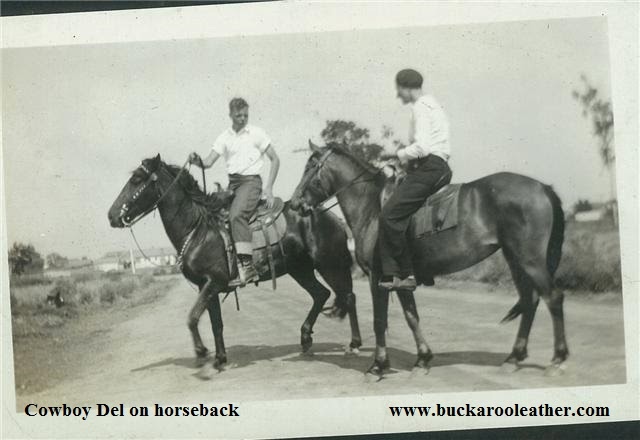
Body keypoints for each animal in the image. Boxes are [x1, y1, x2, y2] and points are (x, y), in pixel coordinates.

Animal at [107, 154, 362, 371]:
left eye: (136, 179)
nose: (111, 216)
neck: (199, 229)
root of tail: (332, 217)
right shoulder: (206, 287)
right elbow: (215, 323)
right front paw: (220, 359)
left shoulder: (213, 282)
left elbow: (192, 318)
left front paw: (202, 353)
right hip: (301, 270)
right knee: (321, 294)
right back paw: (306, 338)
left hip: (330, 264)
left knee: (348, 296)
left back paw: (354, 344)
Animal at [290, 141, 567, 377]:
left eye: (310, 166)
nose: (294, 204)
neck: (371, 208)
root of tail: (543, 187)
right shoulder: (401, 279)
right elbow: (412, 316)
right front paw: (422, 359)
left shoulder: (377, 278)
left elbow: (380, 321)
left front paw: (378, 365)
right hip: (515, 260)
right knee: (530, 301)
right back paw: (514, 358)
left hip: (530, 260)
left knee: (553, 298)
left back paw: (557, 360)